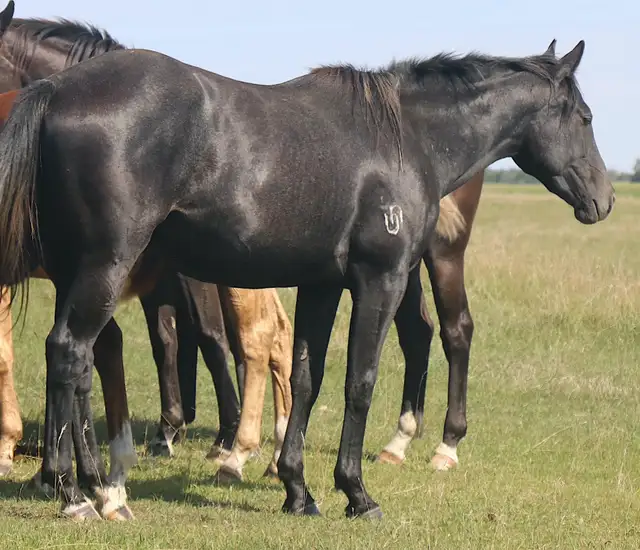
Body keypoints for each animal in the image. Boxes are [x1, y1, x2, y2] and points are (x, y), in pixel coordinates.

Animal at [0, 39, 613, 520]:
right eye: (584, 117)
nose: (604, 201)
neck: (405, 138)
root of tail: (56, 90)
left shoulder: (322, 285)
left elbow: (306, 378)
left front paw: (298, 489)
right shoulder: (379, 280)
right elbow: (359, 382)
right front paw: (357, 494)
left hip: (77, 272)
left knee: (80, 360)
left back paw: (94, 487)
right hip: (104, 266)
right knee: (69, 352)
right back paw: (76, 495)